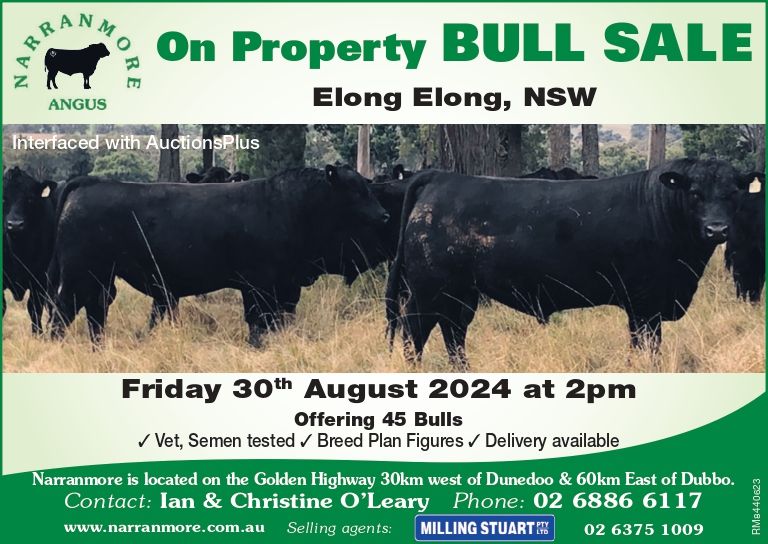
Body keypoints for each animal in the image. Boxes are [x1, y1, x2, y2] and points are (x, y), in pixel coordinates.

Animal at [2, 167, 59, 333]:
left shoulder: (39, 279)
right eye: (3, 199)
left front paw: (37, 333)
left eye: (30, 199)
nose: (15, 224)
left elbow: (34, 308)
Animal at [47, 166, 389, 346]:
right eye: (356, 193)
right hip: (80, 275)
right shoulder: (260, 286)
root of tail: (89, 182)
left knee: (94, 312)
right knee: (64, 312)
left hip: (101, 279)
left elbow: (275, 322)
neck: (292, 208)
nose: (385, 215)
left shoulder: (285, 287)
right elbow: (259, 323)